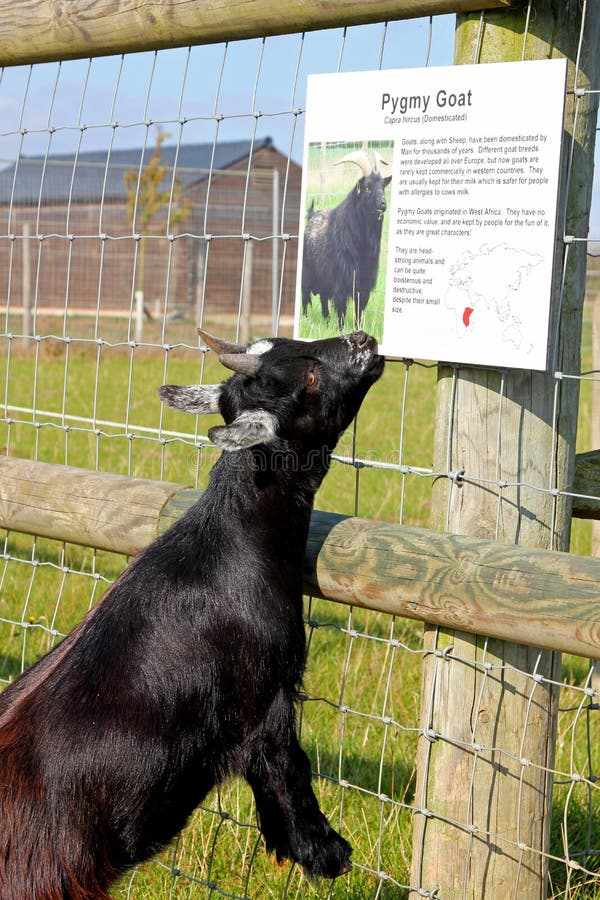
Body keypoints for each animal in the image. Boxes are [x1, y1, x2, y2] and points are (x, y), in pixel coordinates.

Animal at [0, 329, 384, 899]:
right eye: (310, 376)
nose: (364, 339)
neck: (238, 546)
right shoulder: (263, 695)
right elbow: (287, 769)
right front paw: (326, 853)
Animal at [301, 150, 392, 329]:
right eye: (366, 187)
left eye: (383, 186)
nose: (383, 205)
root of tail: (312, 215)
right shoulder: (341, 282)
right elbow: (341, 310)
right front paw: (340, 330)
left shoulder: (363, 285)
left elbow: (359, 312)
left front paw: (358, 330)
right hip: (306, 276)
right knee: (305, 299)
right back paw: (307, 319)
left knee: (323, 299)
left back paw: (326, 320)